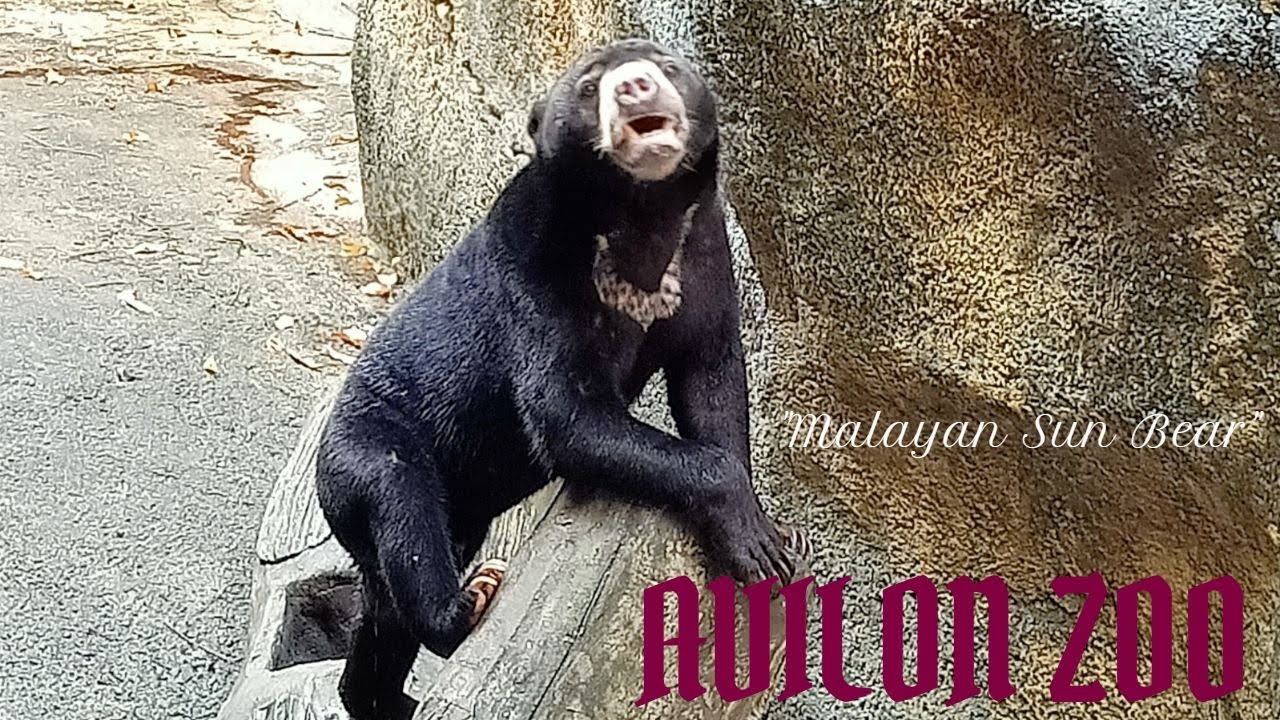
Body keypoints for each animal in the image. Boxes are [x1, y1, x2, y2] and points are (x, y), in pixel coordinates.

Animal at [314, 38, 802, 720]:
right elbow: (568, 416)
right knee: (404, 516)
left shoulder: (705, 257)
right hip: (369, 446)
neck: (641, 216)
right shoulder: (539, 275)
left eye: (669, 67)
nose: (635, 88)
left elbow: (711, 382)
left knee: (384, 609)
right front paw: (762, 549)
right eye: (590, 85)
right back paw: (469, 602)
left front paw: (764, 541)